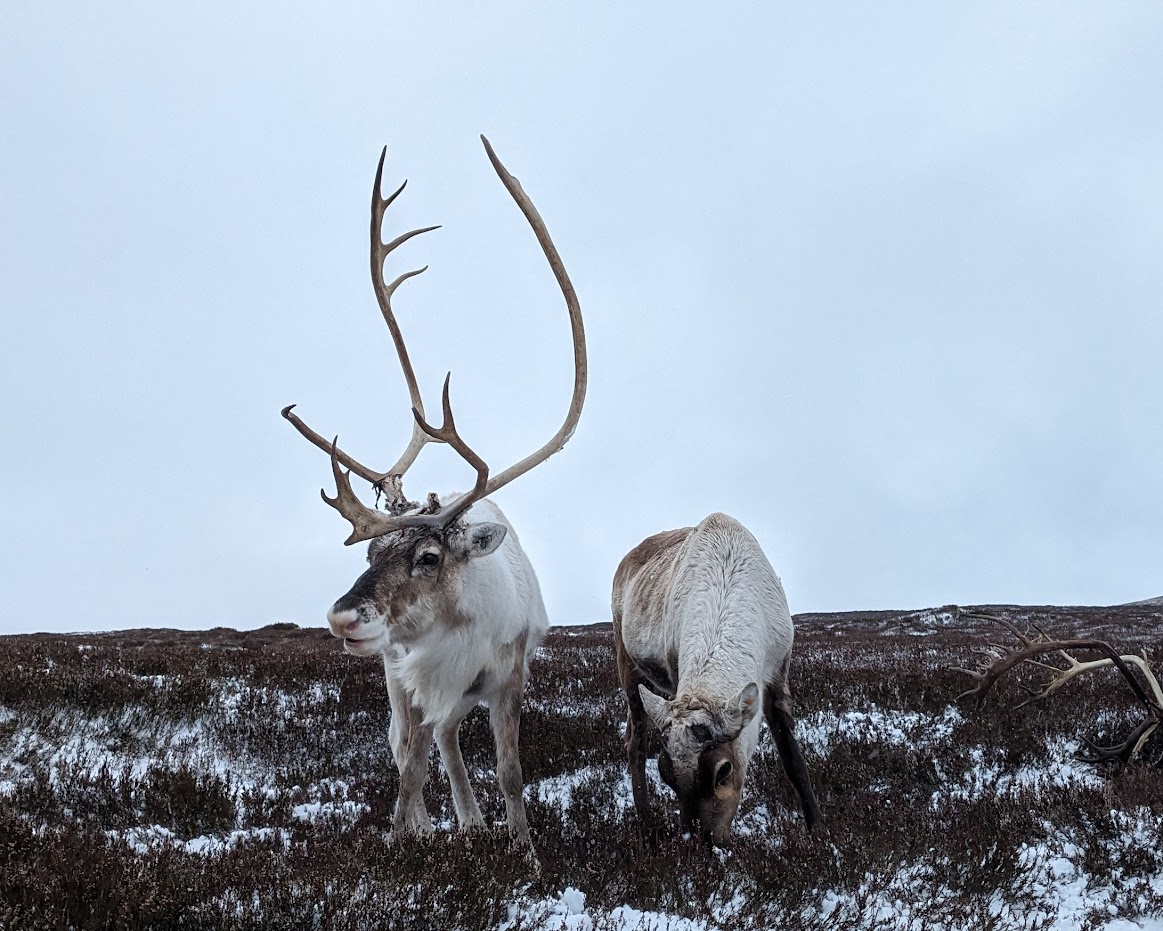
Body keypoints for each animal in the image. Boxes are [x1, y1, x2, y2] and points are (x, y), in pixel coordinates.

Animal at [282, 136, 585, 850]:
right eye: (369, 556)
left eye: (428, 558)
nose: (342, 617)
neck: (456, 630)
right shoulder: (409, 676)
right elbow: (410, 767)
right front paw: (404, 840)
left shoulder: (506, 678)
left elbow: (509, 771)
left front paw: (523, 848)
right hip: (398, 677)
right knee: (416, 748)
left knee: (446, 741)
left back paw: (472, 821)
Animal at [612, 512, 823, 847]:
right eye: (666, 773)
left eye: (722, 772)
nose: (701, 844)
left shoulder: (777, 674)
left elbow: (793, 760)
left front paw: (818, 829)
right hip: (626, 659)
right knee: (635, 739)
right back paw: (645, 824)